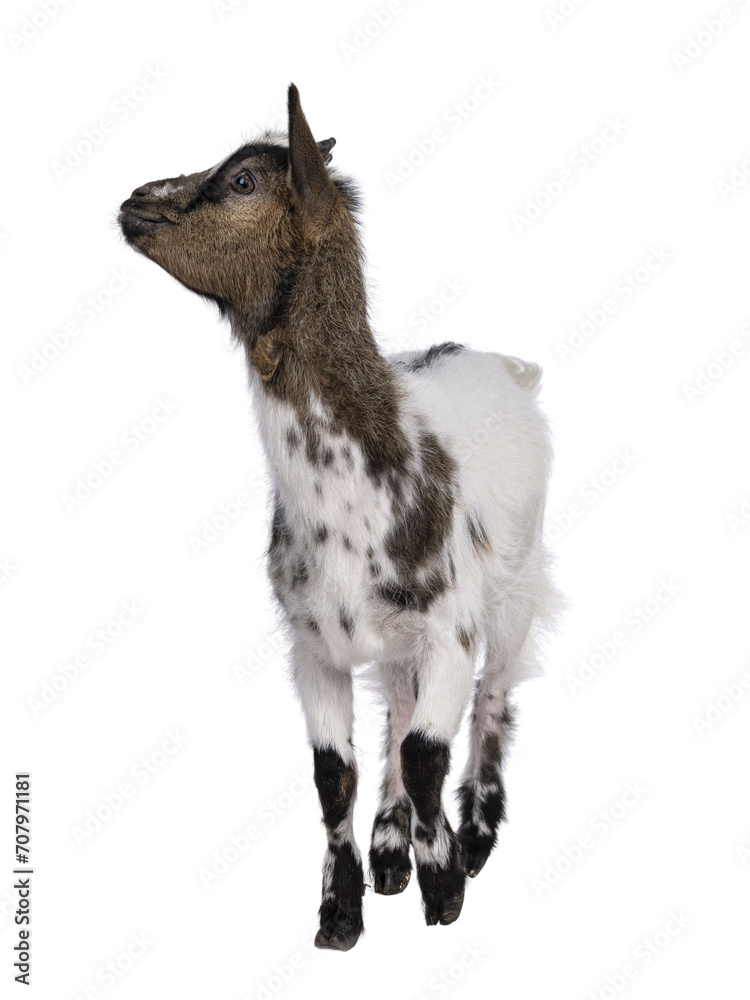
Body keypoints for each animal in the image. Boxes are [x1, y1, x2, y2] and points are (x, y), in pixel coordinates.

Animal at [119, 84, 559, 951]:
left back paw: (476, 834)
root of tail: (505, 366)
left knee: (493, 695)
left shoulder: (449, 626)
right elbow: (335, 775)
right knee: (394, 704)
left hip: (516, 587)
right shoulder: (313, 642)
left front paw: (446, 888)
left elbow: (428, 752)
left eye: (244, 181)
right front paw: (341, 912)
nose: (133, 203)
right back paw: (391, 849)